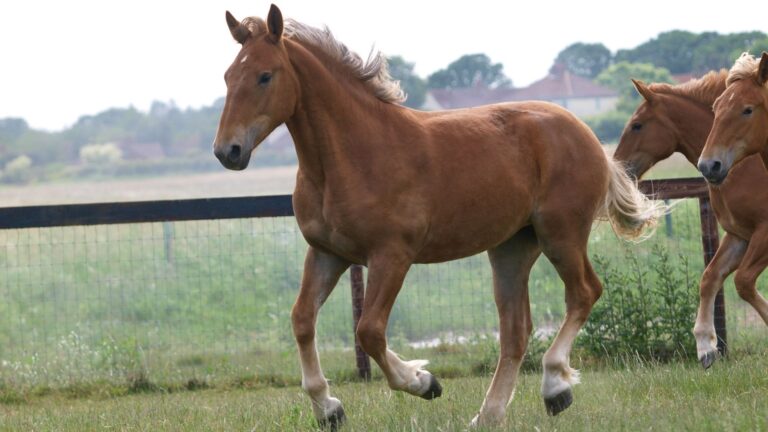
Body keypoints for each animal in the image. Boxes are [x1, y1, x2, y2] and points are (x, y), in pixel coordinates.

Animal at [213, 4, 661, 428]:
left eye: (265, 76)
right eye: (228, 76)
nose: (227, 151)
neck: (353, 155)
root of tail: (586, 133)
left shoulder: (392, 255)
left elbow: (369, 331)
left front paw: (423, 381)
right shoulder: (328, 253)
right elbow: (302, 320)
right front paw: (329, 409)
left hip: (560, 234)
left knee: (584, 292)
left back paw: (555, 389)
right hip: (512, 247)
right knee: (516, 331)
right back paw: (489, 415)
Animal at [615, 71, 768, 369]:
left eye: (637, 125)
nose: (617, 167)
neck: (743, 166)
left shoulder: (763, 232)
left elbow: (743, 282)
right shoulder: (739, 236)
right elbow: (710, 278)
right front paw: (706, 348)